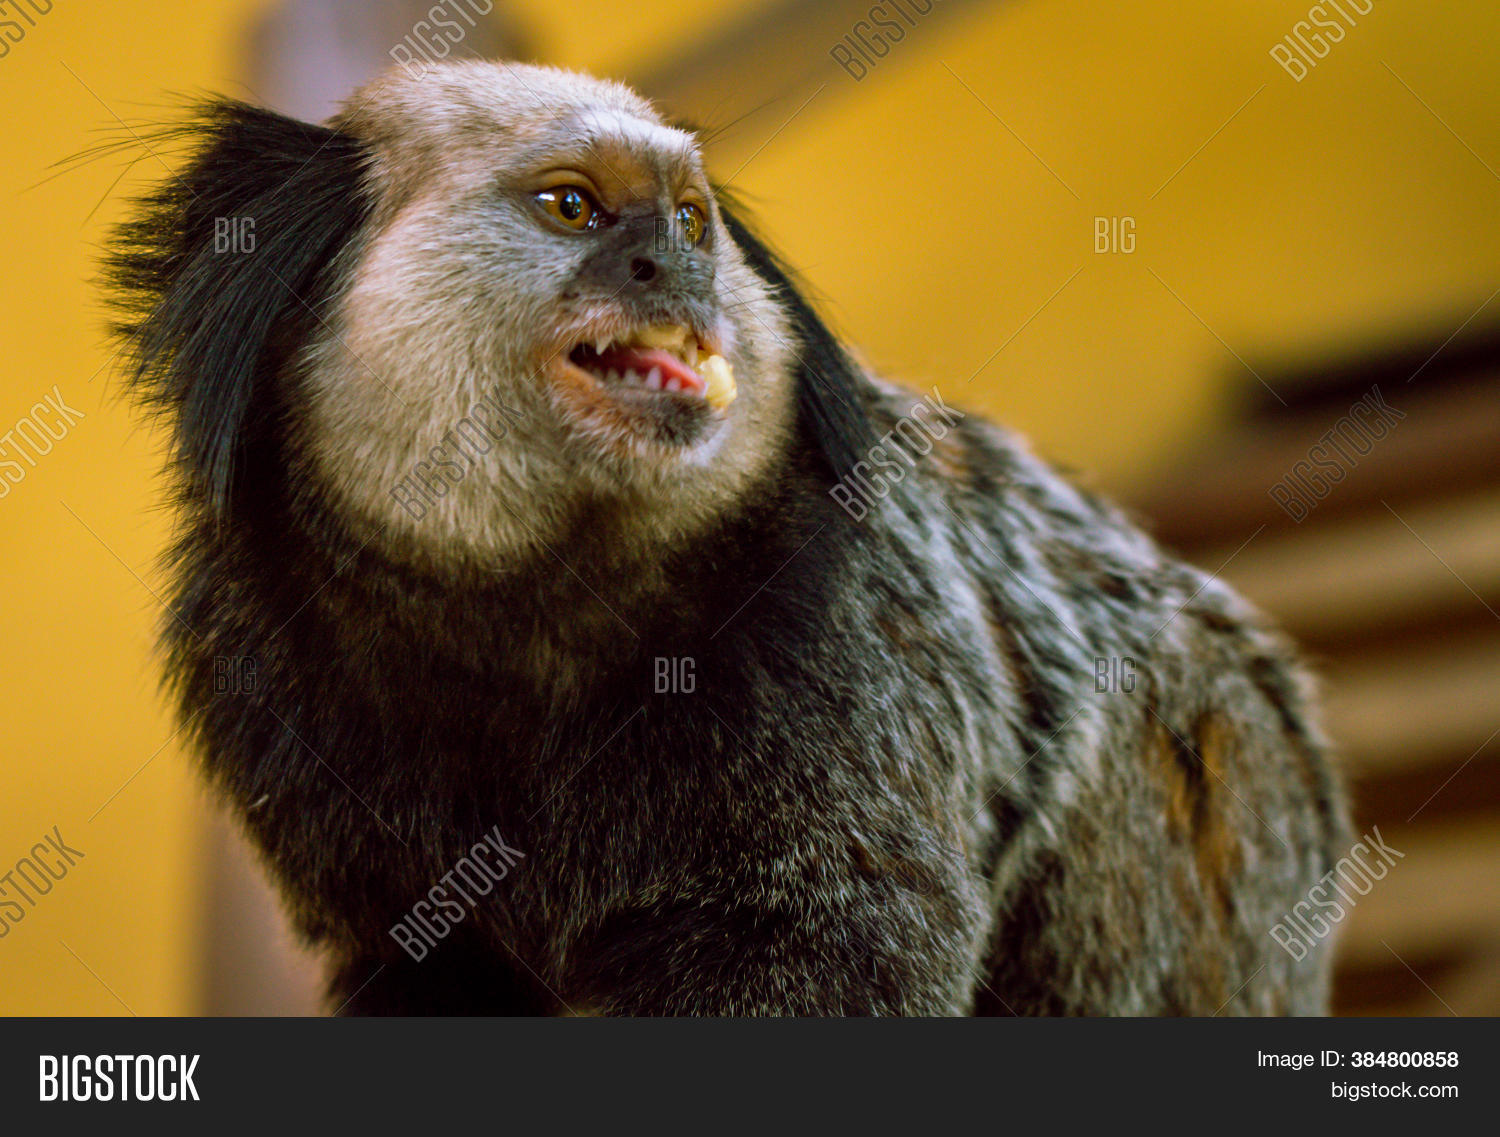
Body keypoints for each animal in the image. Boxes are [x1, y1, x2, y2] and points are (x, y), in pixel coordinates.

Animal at [104, 61, 1348, 1016]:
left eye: (691, 219)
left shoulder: (849, 631)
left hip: (1229, 794)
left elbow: (840, 938)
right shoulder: (264, 667)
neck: (523, 606)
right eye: (574, 208)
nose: (678, 266)